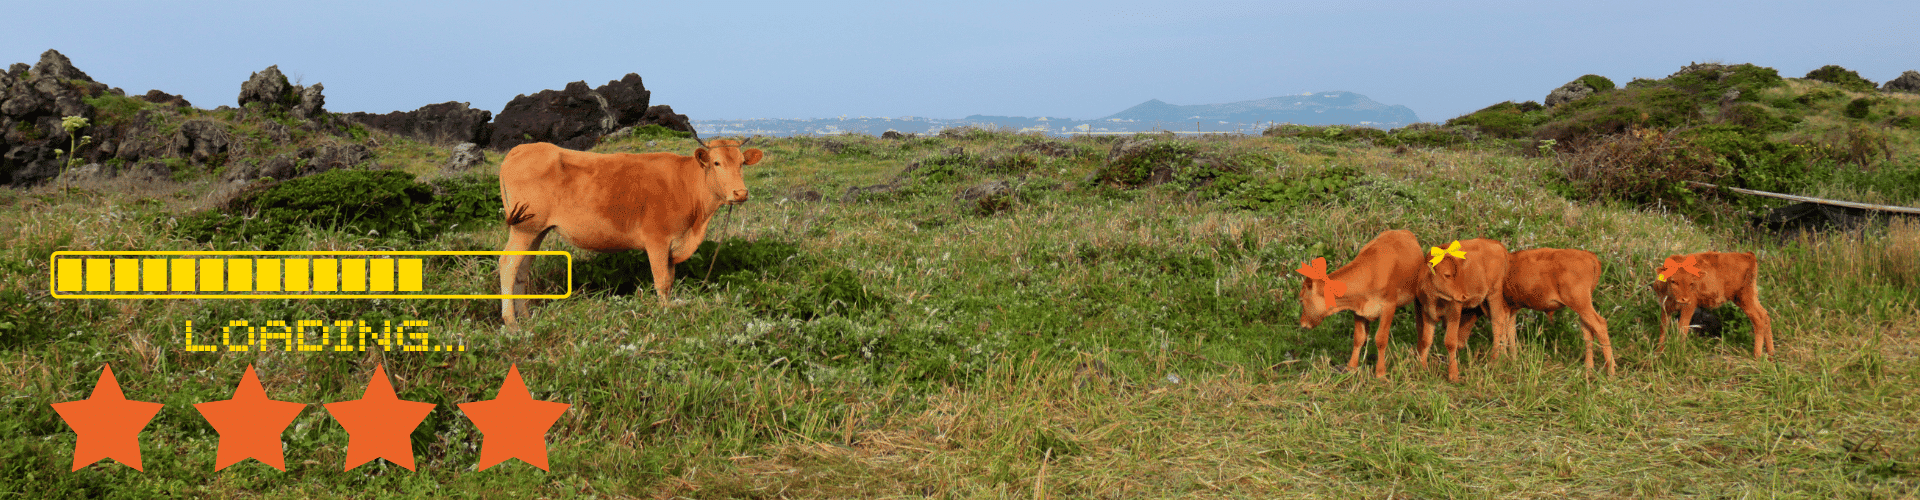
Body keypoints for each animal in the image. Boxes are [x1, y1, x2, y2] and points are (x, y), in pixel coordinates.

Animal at [497, 132, 763, 326]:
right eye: (717, 163)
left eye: (742, 163)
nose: (741, 193)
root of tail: (521, 149)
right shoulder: (657, 239)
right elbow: (662, 281)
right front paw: (665, 315)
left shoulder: (672, 245)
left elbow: (670, 280)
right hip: (525, 227)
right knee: (508, 264)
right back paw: (511, 324)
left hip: (536, 230)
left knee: (522, 268)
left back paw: (525, 317)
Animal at [1294, 229, 1430, 378]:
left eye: (1301, 300)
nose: (1302, 323)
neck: (1369, 275)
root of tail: (1401, 231)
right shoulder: (1358, 310)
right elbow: (1358, 338)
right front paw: (1351, 367)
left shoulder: (1389, 306)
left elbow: (1381, 339)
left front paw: (1381, 373)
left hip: (1417, 297)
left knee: (1420, 327)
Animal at [1415, 238, 1511, 382]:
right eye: (1447, 275)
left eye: (1458, 274)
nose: (1463, 296)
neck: (1435, 298)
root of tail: (1497, 244)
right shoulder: (1428, 313)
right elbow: (1426, 340)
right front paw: (1422, 369)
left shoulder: (1454, 311)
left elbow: (1450, 342)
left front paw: (1453, 375)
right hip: (1485, 303)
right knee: (1503, 319)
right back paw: (1504, 358)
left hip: (1494, 294)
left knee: (1497, 322)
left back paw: (1494, 361)